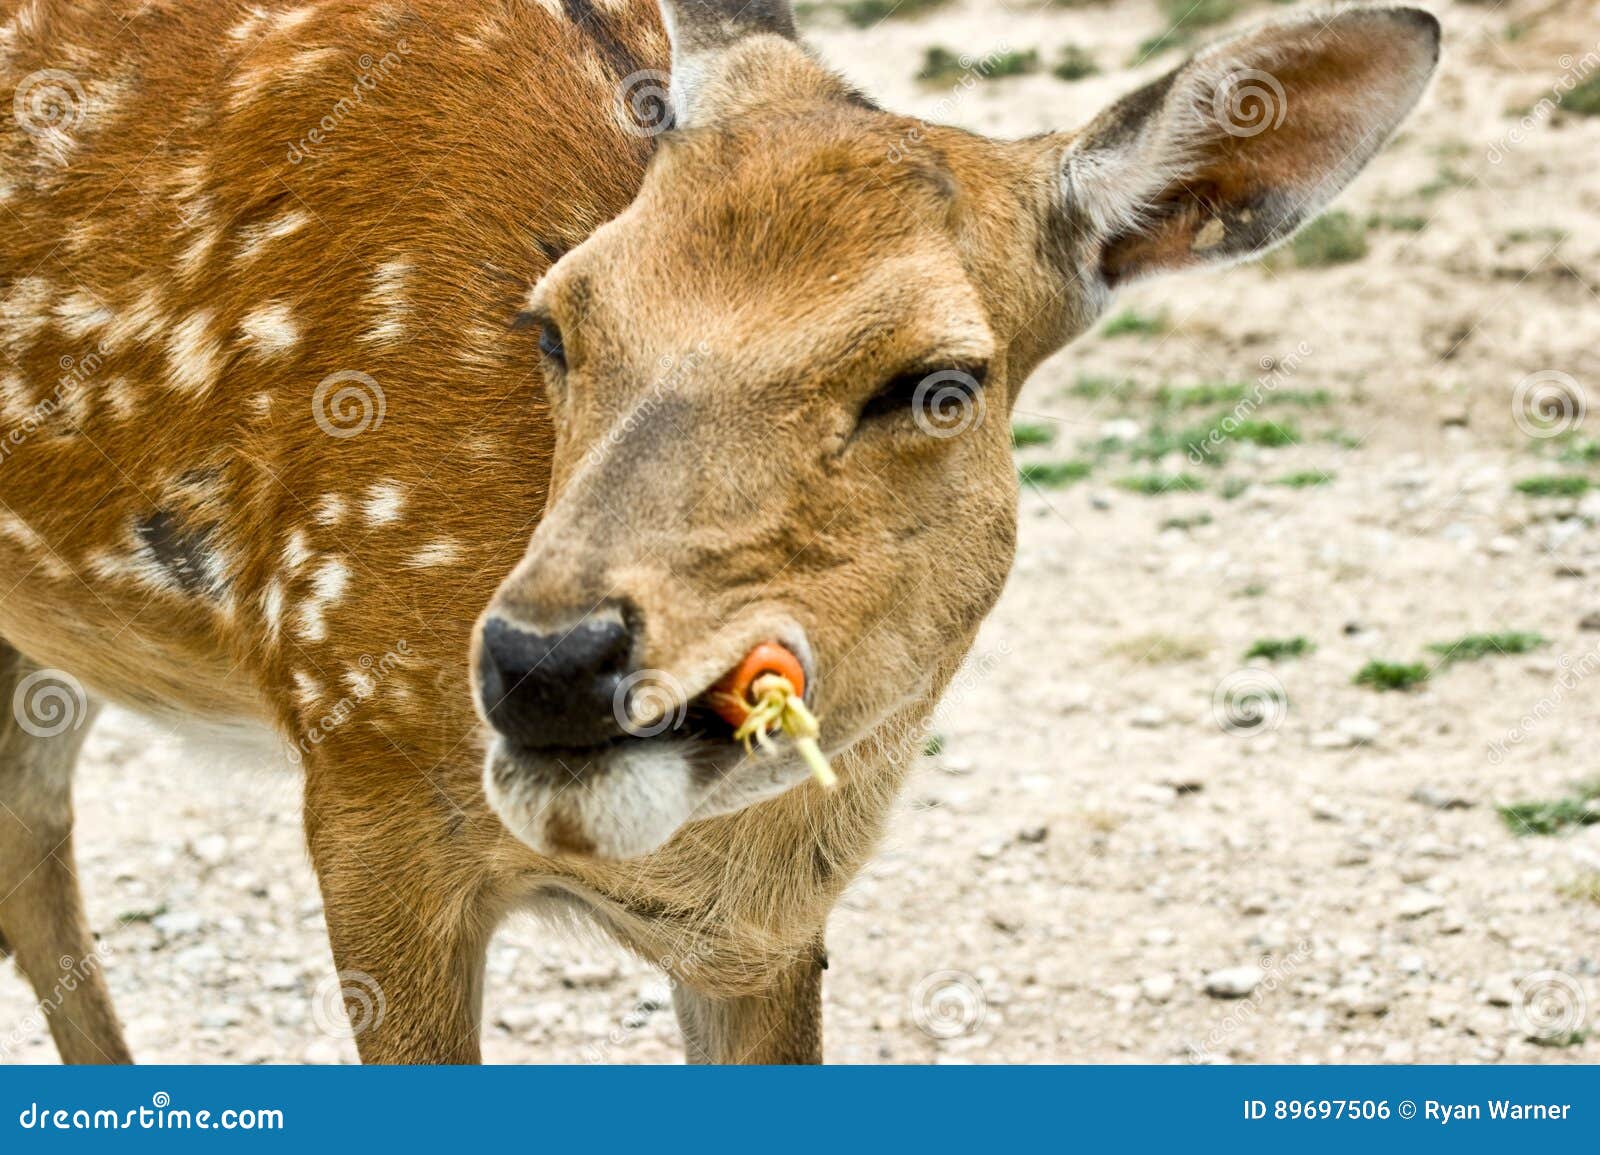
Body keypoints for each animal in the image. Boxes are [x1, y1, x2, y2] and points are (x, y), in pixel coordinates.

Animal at [0, 0, 1438, 1064]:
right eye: (555, 317)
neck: (709, 861)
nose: (548, 663)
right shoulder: (356, 762)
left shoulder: (773, 925)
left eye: (939, 380)